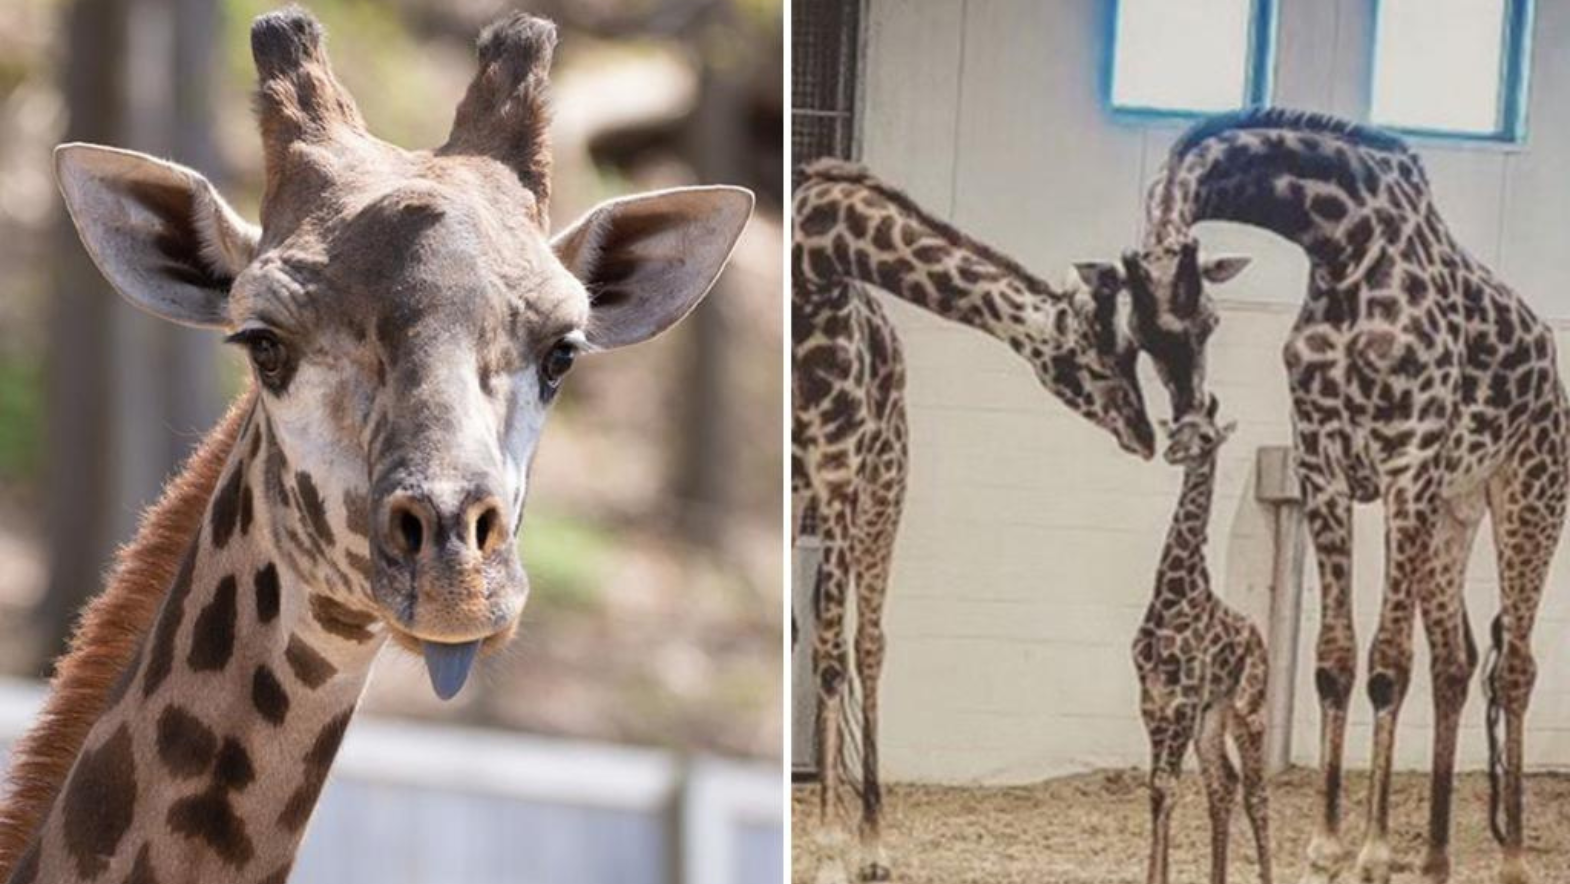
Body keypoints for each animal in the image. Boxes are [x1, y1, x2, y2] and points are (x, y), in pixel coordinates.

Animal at [791, 159, 1156, 882]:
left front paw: (834, 848)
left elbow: (833, 652)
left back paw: (872, 841)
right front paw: (822, 849)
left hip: (887, 484)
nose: (1147, 435)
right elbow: (809, 646)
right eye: (1098, 359)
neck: (811, 264)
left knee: (869, 644)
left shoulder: (839, 476)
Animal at [1135, 396, 1270, 884]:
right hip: (1213, 715)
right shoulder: (1153, 700)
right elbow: (1157, 788)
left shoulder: (1182, 699)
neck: (1172, 596)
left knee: (1256, 792)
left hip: (1248, 709)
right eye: (1176, 429)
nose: (1174, 452)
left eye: (1208, 437)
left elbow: (1167, 786)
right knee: (1223, 782)